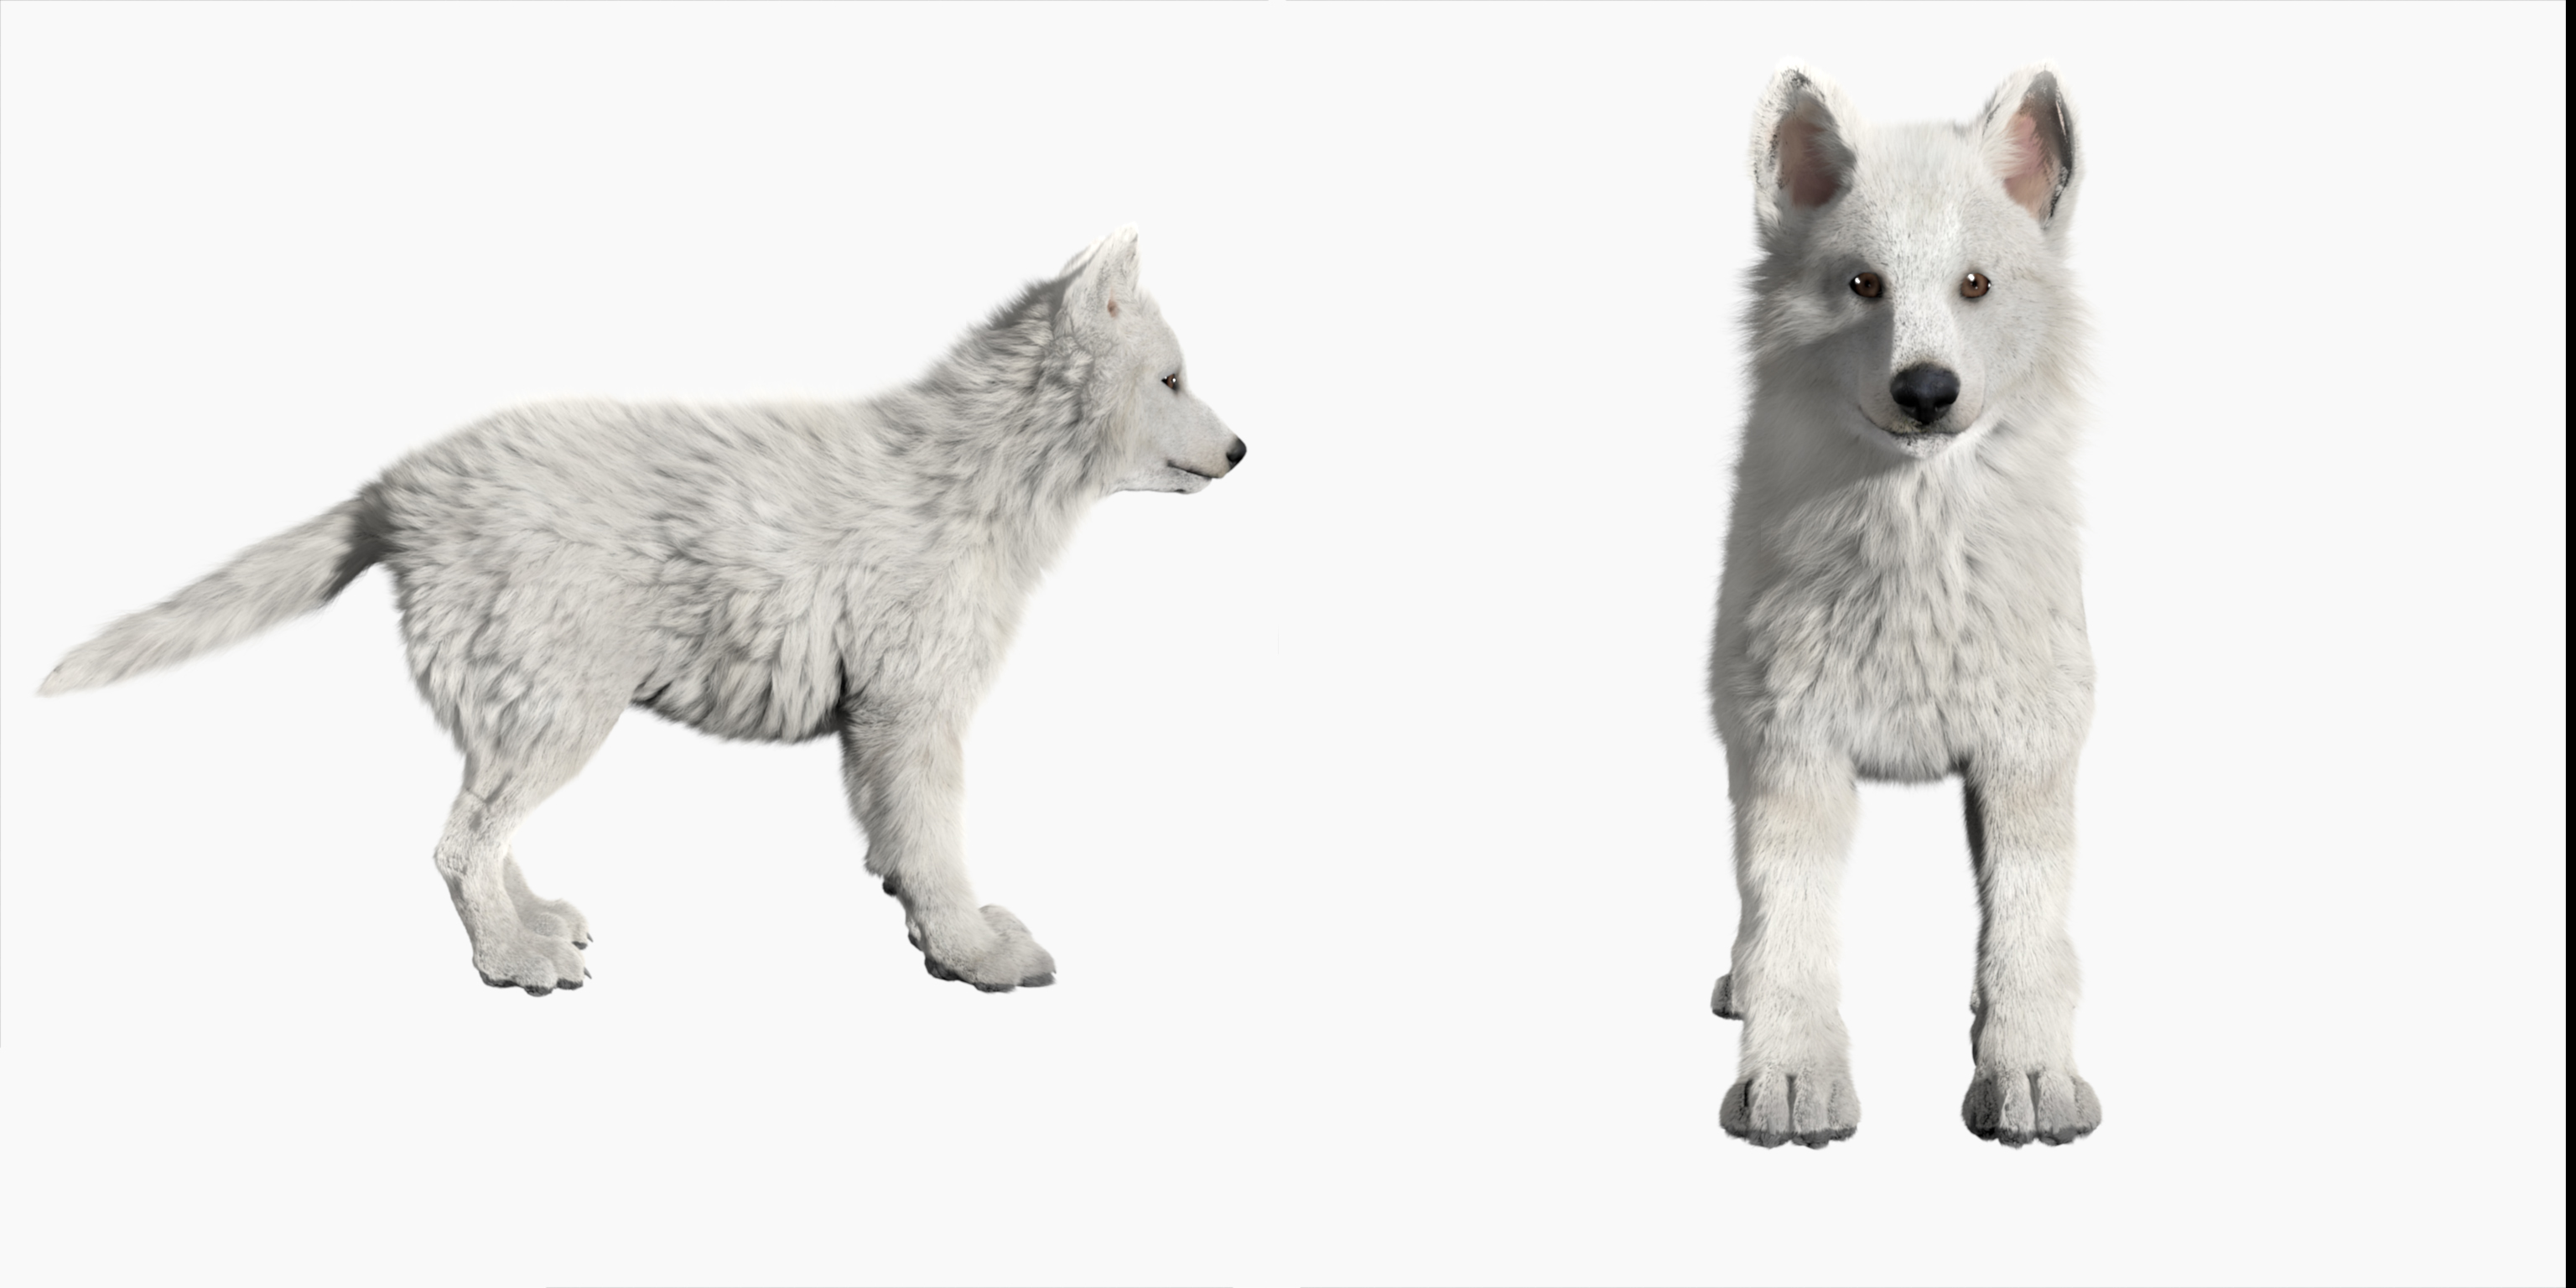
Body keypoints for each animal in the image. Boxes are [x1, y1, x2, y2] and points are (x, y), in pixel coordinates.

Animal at [40, 226, 1244, 997]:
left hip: (524, 714)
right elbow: (940, 843)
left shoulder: (876, 723)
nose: (1242, 451)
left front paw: (919, 916)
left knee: (480, 838)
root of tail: (401, 485)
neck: (977, 475)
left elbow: (899, 842)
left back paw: (533, 923)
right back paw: (513, 963)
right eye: (1173, 380)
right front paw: (972, 953)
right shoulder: (912, 710)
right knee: (457, 845)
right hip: (560, 711)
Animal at [1707, 64, 2098, 1148]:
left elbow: (2025, 931)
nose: (1926, 390)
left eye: (1975, 286)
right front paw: (1791, 1078)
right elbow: (1791, 931)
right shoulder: (1792, 751)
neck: (1918, 564)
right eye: (1864, 285)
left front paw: (2030, 1073)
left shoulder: (2024, 755)